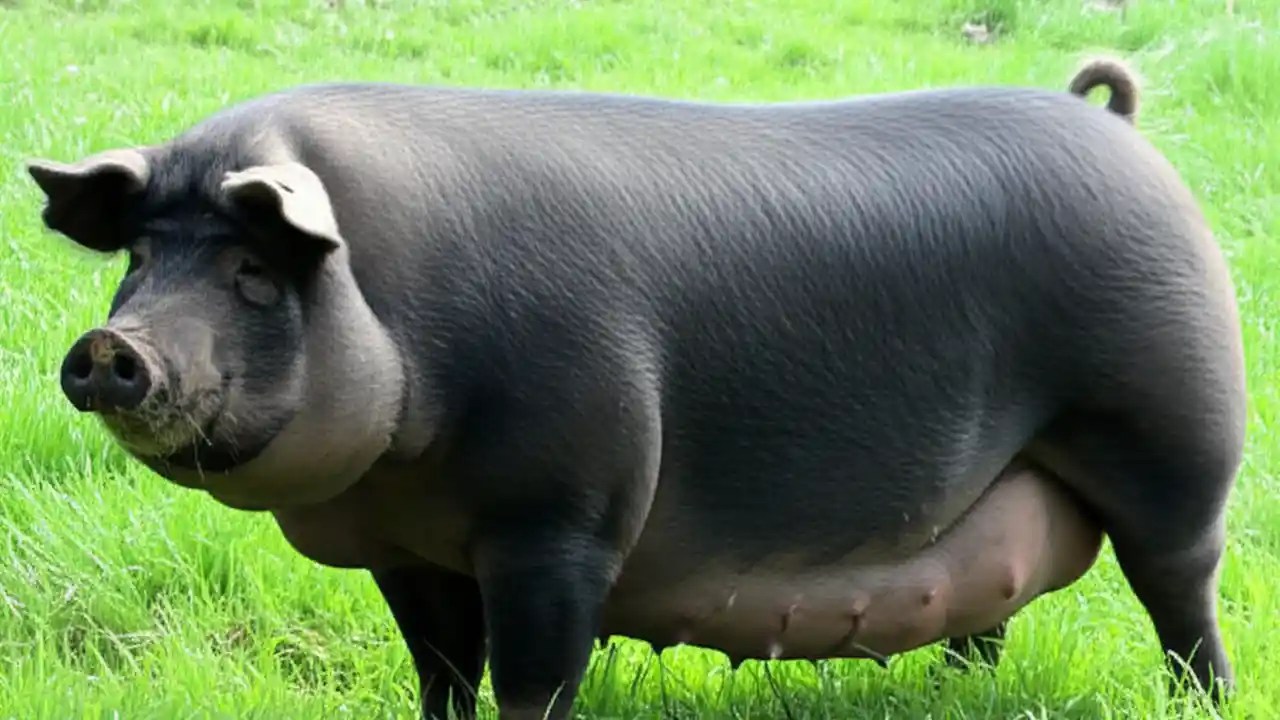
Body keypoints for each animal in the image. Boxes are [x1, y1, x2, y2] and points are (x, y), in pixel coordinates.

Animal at [27, 57, 1245, 719]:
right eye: (140, 258)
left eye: (251, 273)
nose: (111, 346)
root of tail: (1114, 124)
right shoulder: (408, 552)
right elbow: (439, 675)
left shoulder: (565, 517)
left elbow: (532, 680)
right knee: (987, 614)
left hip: (1176, 433)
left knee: (1180, 596)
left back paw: (1208, 698)